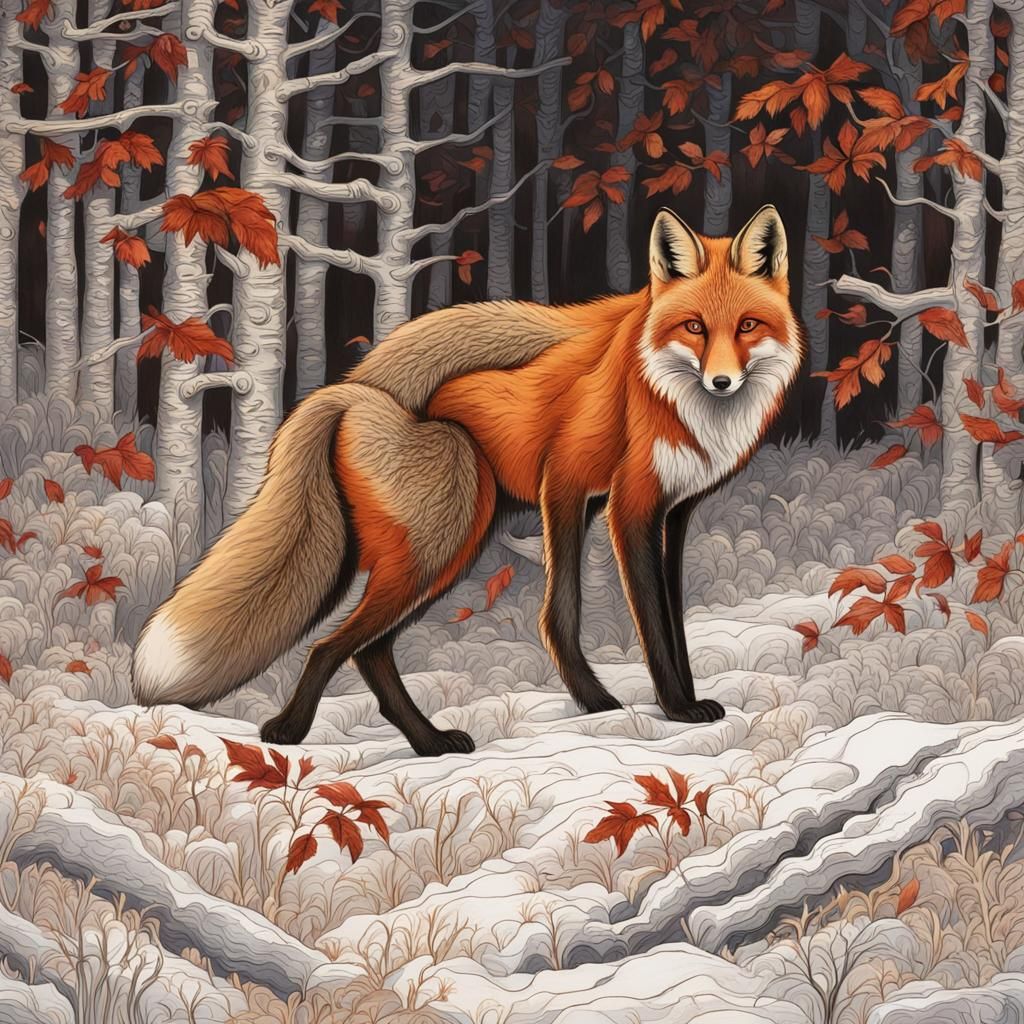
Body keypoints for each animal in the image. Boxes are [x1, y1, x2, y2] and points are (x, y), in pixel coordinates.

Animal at [132, 205, 803, 757]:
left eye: (747, 326)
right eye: (694, 327)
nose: (721, 382)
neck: (671, 398)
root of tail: (354, 392)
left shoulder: (672, 514)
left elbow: (673, 622)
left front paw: (672, 699)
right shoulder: (605, 498)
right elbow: (606, 619)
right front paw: (664, 706)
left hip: (447, 546)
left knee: (371, 650)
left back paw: (428, 742)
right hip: (450, 531)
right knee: (331, 645)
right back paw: (289, 731)